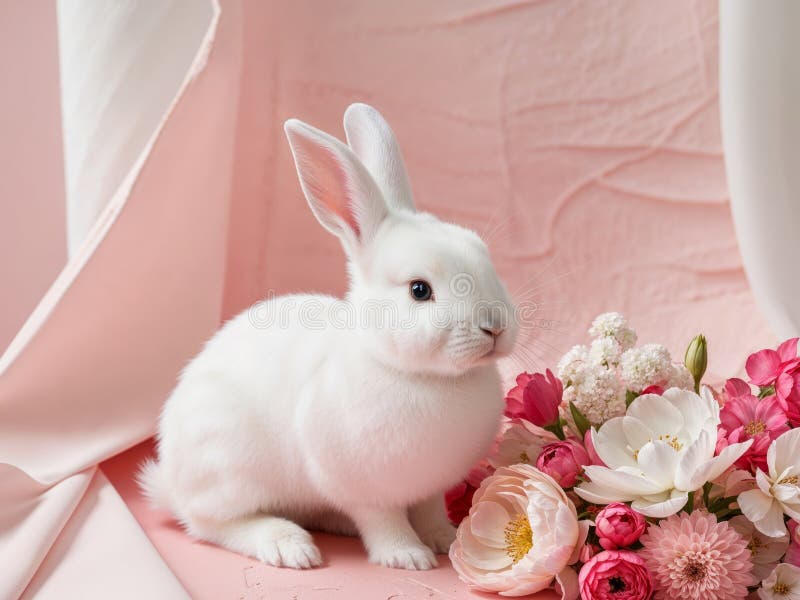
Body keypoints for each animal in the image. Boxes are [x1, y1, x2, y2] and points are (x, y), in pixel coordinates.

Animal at [139, 103, 518, 571]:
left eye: (482, 253)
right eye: (419, 290)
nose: (496, 326)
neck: (418, 375)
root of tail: (171, 480)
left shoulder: (430, 486)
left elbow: (429, 511)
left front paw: (445, 540)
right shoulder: (360, 485)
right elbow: (382, 521)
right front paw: (408, 557)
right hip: (228, 467)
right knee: (211, 523)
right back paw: (289, 546)